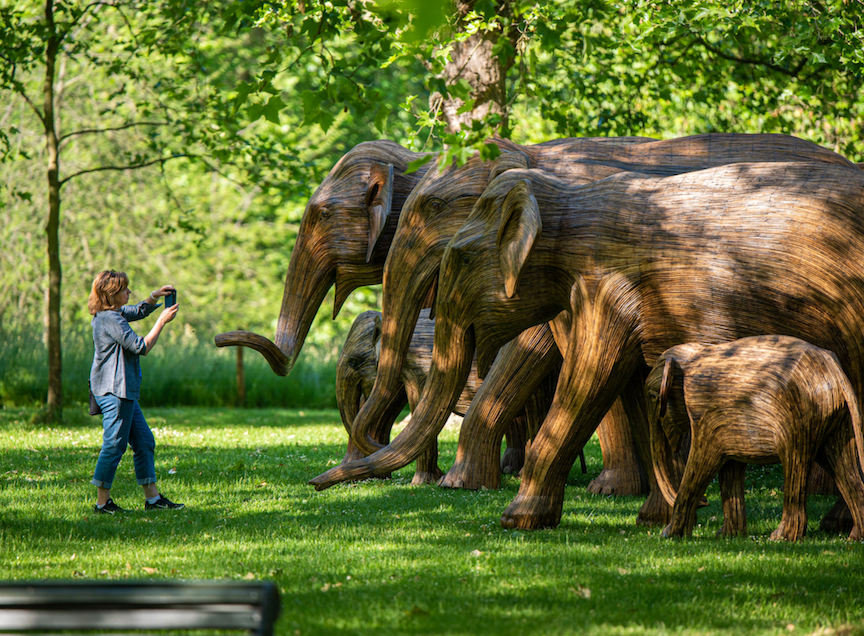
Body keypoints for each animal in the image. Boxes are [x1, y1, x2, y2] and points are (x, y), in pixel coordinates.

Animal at [645, 336, 864, 541]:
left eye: (653, 397)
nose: (705, 502)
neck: (693, 354)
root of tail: (835, 371)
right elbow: (730, 468)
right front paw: (727, 536)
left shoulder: (705, 414)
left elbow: (702, 463)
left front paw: (668, 535)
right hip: (834, 416)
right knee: (843, 467)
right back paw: (854, 538)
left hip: (800, 416)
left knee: (795, 463)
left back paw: (780, 537)